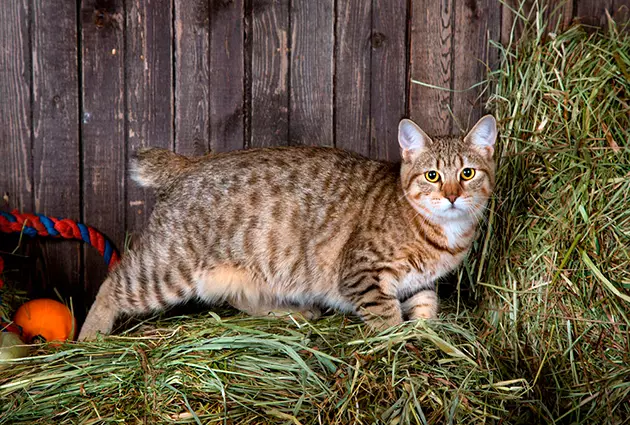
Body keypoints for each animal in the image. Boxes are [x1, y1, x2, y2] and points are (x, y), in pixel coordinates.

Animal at [78, 114, 498, 340]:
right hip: (167, 268)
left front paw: (426, 336)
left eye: (467, 173)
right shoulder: (361, 274)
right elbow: (385, 317)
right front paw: (394, 344)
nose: (452, 196)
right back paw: (88, 340)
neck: (444, 233)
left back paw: (292, 313)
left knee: (237, 298)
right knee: (112, 283)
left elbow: (427, 306)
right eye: (432, 176)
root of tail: (190, 164)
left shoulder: (421, 283)